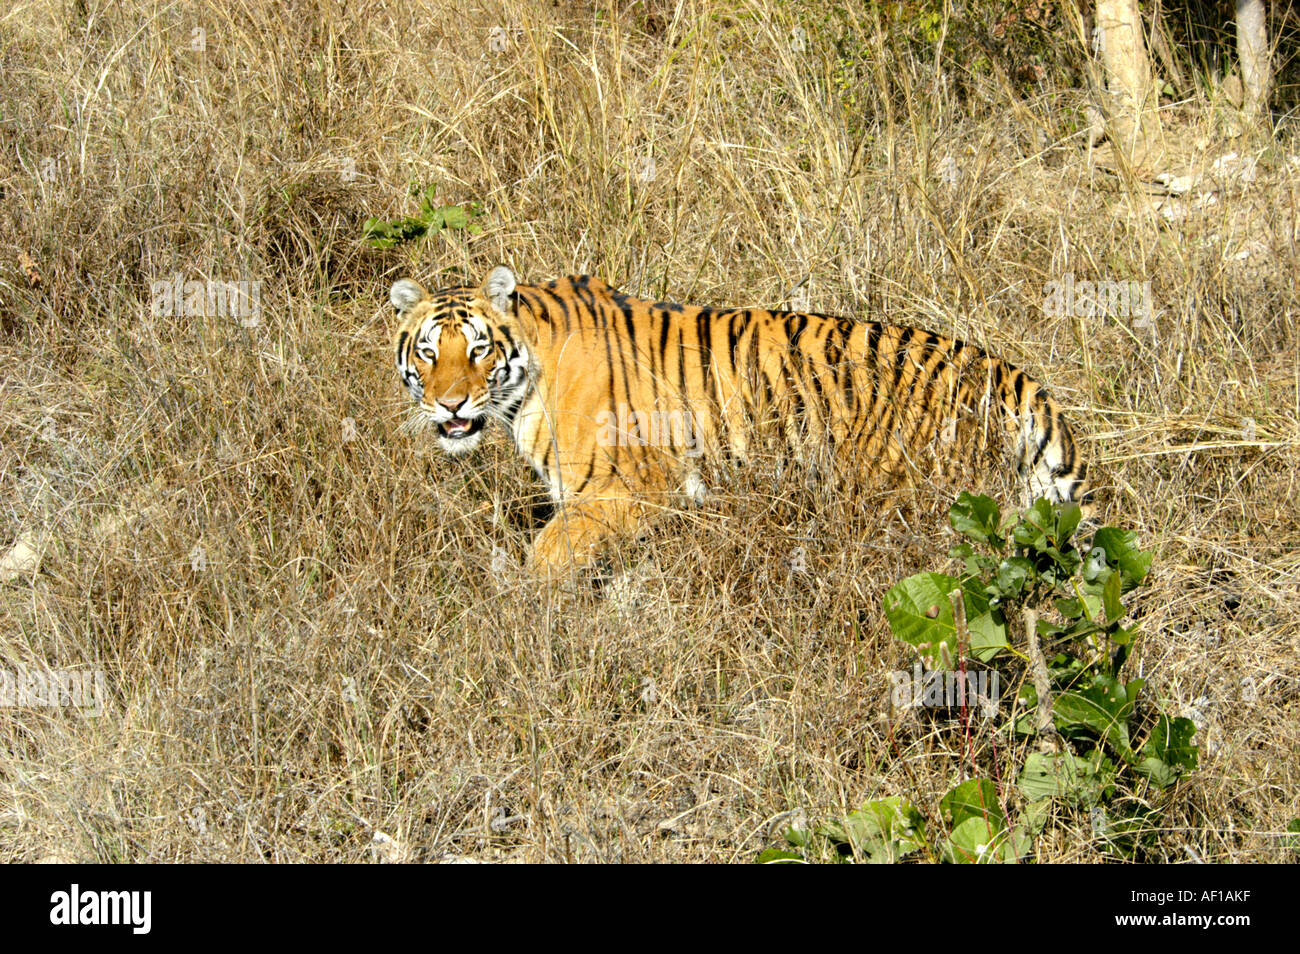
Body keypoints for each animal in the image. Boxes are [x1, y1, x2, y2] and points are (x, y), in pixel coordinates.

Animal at [389, 266, 1086, 574]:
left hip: (914, 505)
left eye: (478, 350)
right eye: (428, 352)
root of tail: (1011, 374)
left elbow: (546, 555)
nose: (450, 404)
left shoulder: (630, 491)